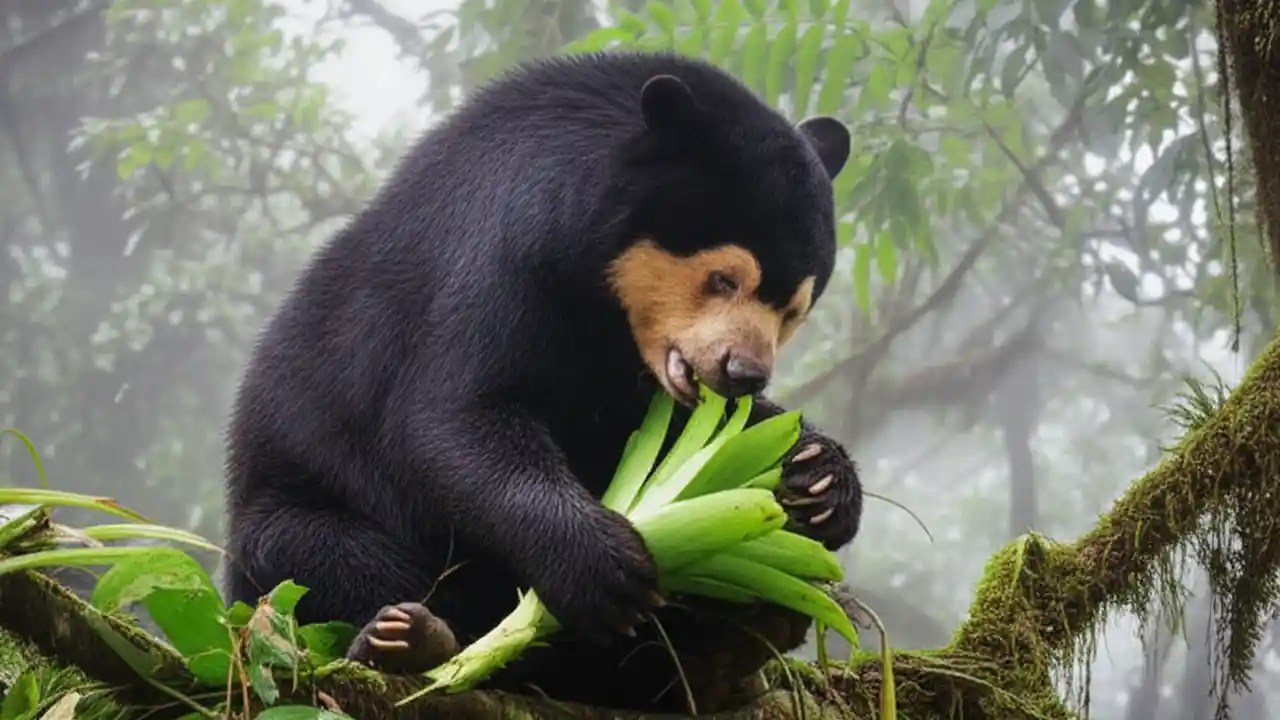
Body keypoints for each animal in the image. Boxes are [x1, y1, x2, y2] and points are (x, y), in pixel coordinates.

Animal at [221, 50, 862, 712]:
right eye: (723, 278)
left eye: (793, 308)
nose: (742, 373)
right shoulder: (502, 250)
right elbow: (455, 416)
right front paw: (608, 569)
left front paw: (821, 479)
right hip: (294, 516)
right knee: (313, 552)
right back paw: (412, 638)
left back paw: (733, 640)